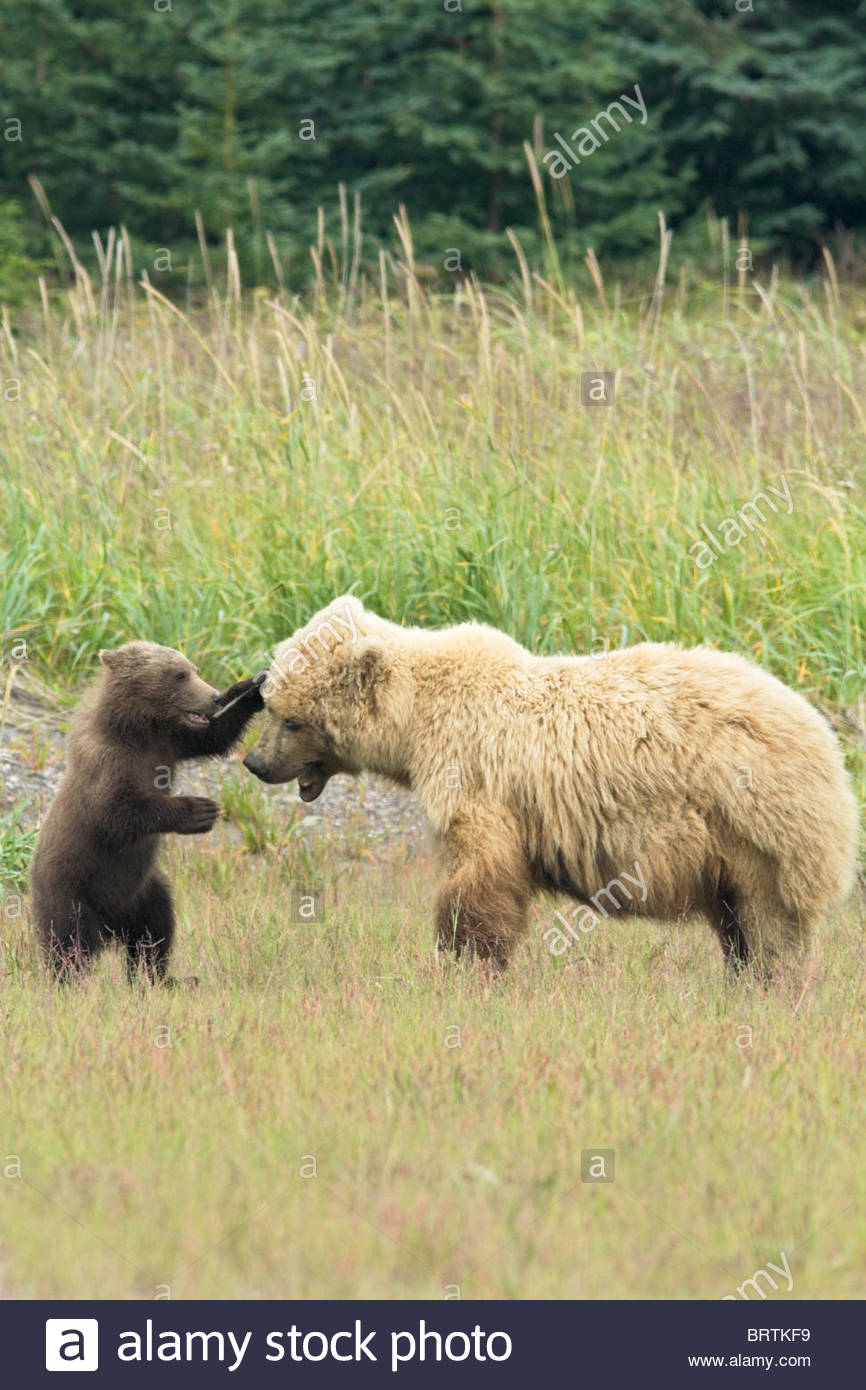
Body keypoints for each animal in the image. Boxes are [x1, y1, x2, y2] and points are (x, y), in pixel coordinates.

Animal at [31, 642, 265, 983]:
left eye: (194, 669)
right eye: (179, 674)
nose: (214, 696)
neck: (137, 729)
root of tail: (110, 927)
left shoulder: (171, 742)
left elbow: (215, 736)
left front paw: (253, 688)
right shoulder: (107, 762)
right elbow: (118, 812)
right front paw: (202, 810)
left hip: (141, 892)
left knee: (155, 929)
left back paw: (164, 978)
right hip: (72, 890)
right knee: (71, 942)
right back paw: (74, 982)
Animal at [242, 595, 859, 977]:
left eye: (291, 719)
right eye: (269, 705)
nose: (254, 762)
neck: (417, 722)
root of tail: (827, 745)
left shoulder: (475, 773)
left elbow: (481, 872)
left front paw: (463, 960)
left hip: (753, 827)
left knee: (768, 922)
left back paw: (767, 980)